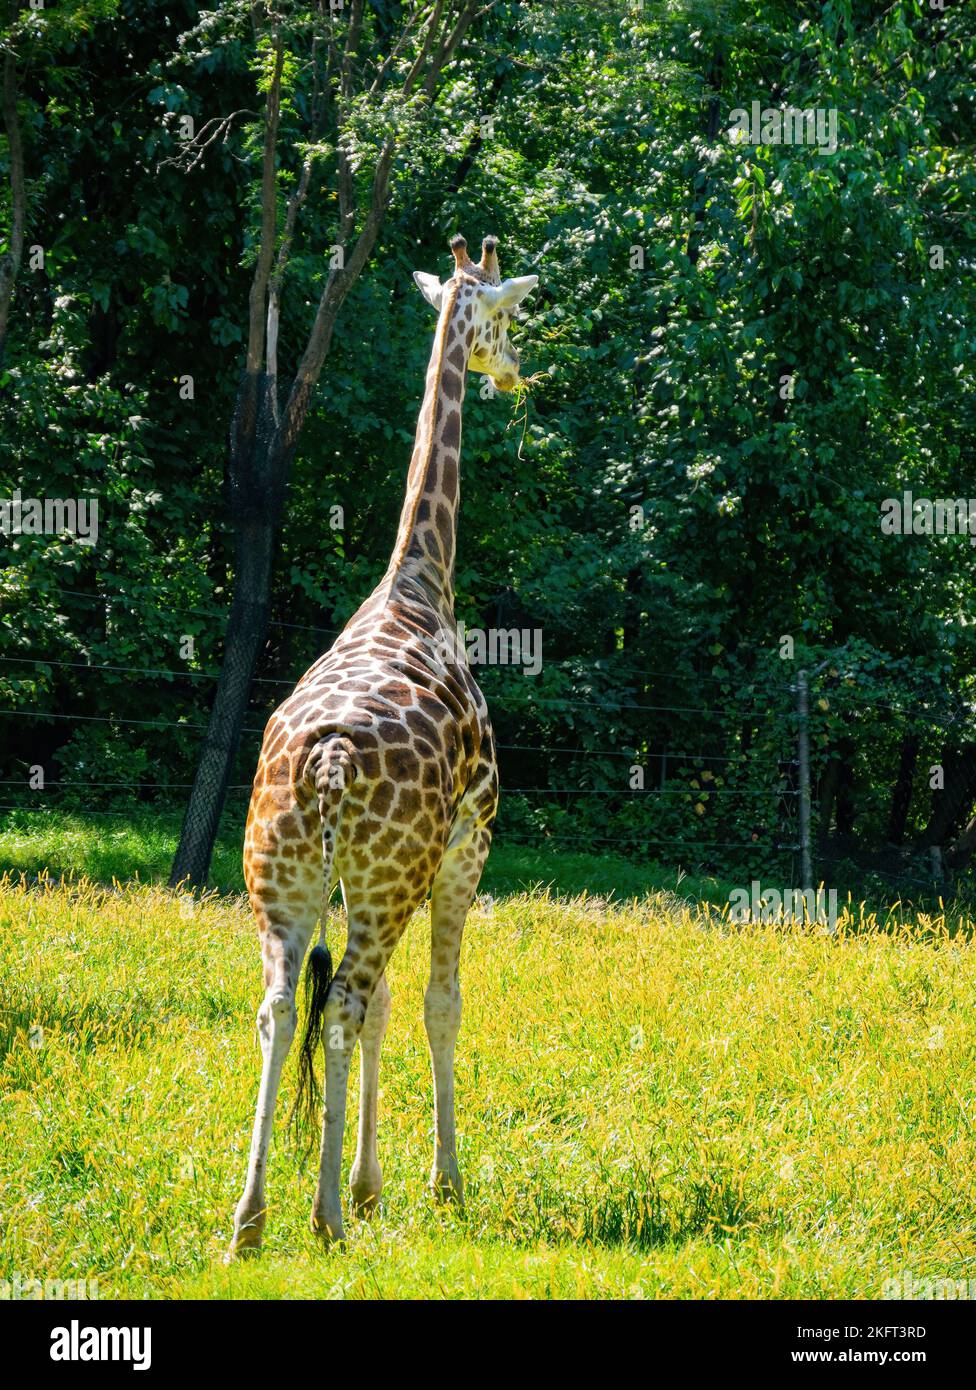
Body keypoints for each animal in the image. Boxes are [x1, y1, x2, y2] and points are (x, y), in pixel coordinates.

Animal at [229, 234, 538, 1254]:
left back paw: (250, 1220)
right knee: (349, 1003)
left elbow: (387, 1010)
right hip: (384, 879)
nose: (515, 373)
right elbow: (439, 1004)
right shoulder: (467, 845)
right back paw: (321, 1217)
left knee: (283, 1007)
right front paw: (437, 1182)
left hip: (282, 883)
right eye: (507, 316)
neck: (418, 578)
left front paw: (372, 1184)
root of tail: (326, 765)